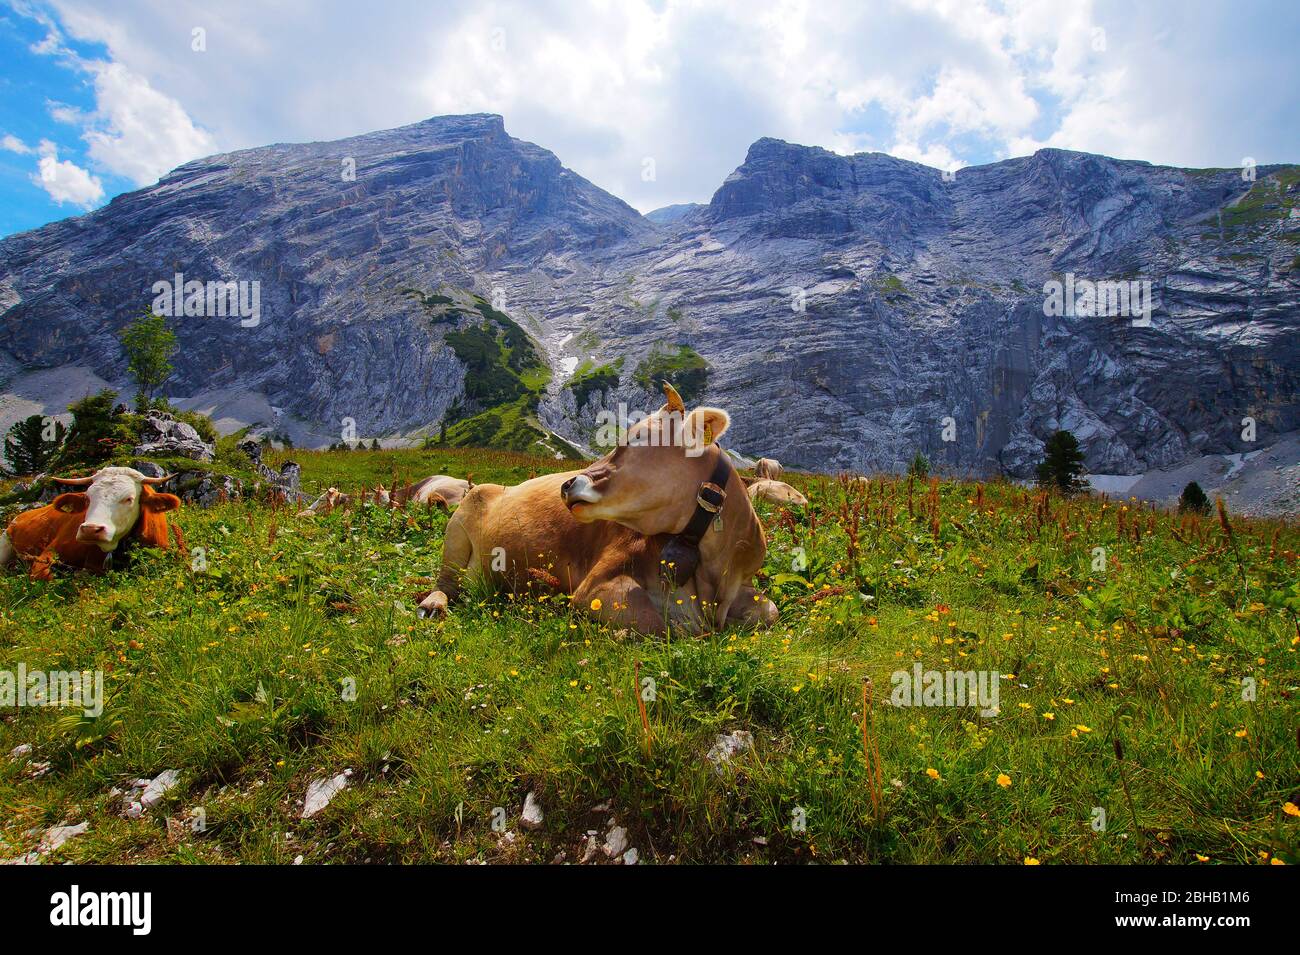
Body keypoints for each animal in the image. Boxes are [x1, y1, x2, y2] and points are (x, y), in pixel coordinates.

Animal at [417, 383, 777, 634]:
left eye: (639, 437)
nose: (566, 484)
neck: (716, 577)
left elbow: (768, 610)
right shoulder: (595, 587)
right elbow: (661, 624)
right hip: (456, 533)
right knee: (446, 584)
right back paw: (433, 605)